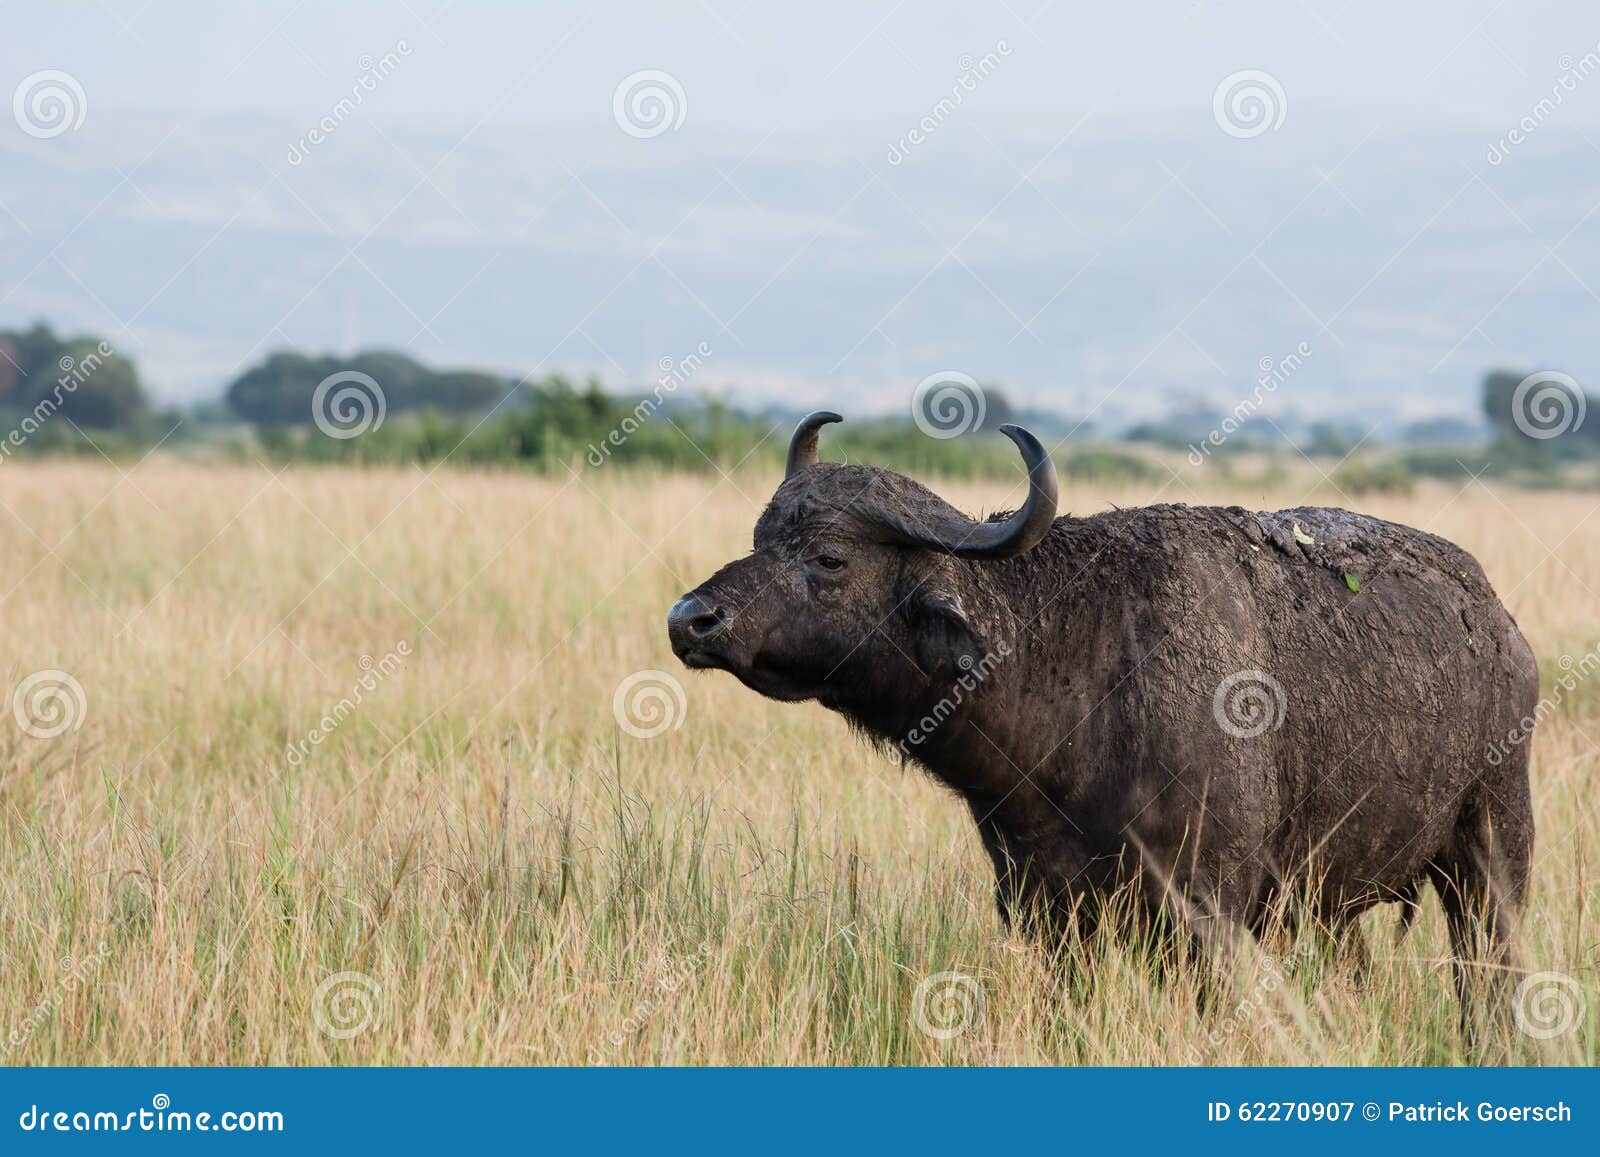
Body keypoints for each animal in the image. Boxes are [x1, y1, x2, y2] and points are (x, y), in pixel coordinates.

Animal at [667, 412, 1537, 1018]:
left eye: (830, 558)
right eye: (761, 539)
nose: (690, 618)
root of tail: (1501, 624)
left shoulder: (1206, 910)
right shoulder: (1043, 907)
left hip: (1494, 856)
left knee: (1488, 983)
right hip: (1331, 901)